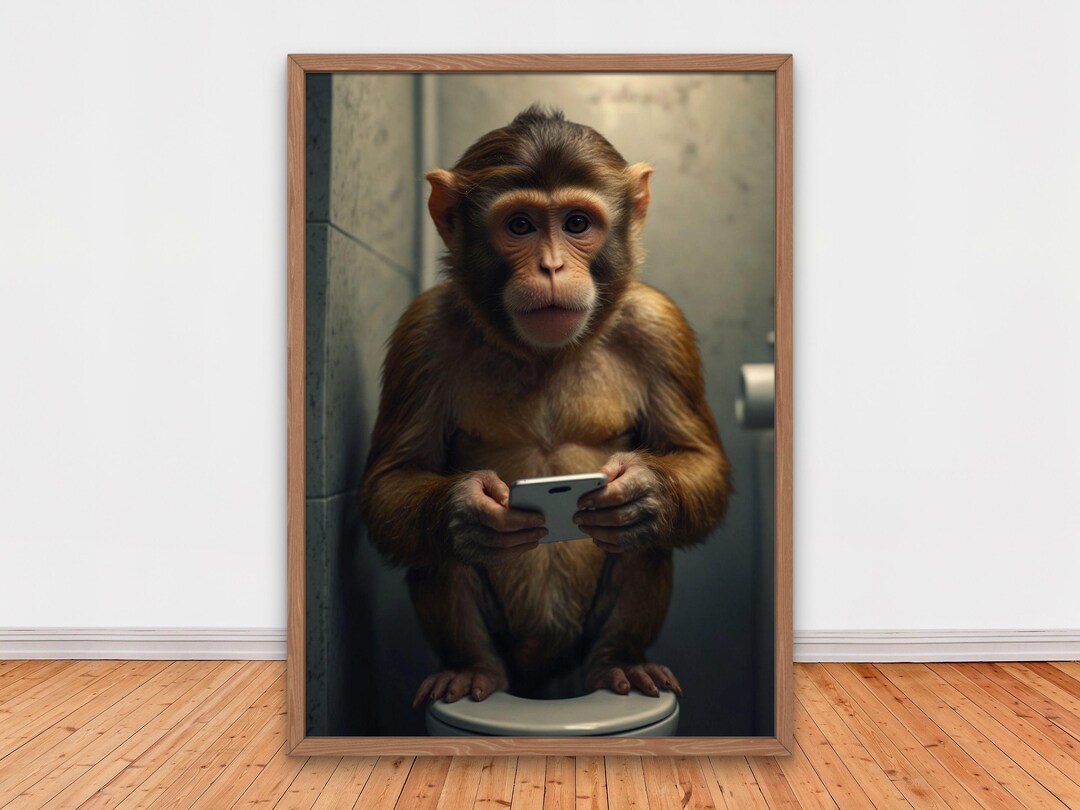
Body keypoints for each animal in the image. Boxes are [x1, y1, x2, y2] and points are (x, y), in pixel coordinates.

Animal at [359, 106, 731, 709]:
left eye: (577, 224)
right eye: (520, 227)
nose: (553, 267)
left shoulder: (659, 325)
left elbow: (694, 456)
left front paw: (644, 494)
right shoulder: (423, 331)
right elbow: (396, 476)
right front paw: (467, 511)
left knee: (644, 545)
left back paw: (619, 663)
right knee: (436, 548)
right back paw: (473, 668)